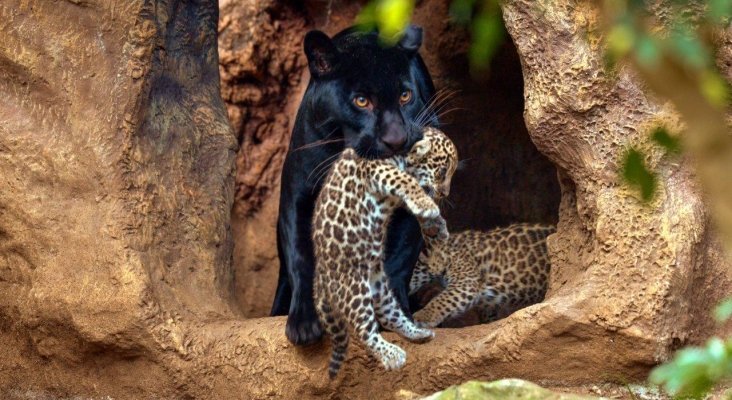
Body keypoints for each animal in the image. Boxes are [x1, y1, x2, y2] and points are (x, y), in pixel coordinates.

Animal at [312, 127, 458, 379]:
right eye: (442, 172)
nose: (446, 193)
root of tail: (321, 275)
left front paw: (435, 223)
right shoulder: (378, 169)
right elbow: (407, 181)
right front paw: (429, 206)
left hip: (380, 286)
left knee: (390, 316)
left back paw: (418, 333)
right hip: (354, 287)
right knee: (364, 329)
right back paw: (392, 355)